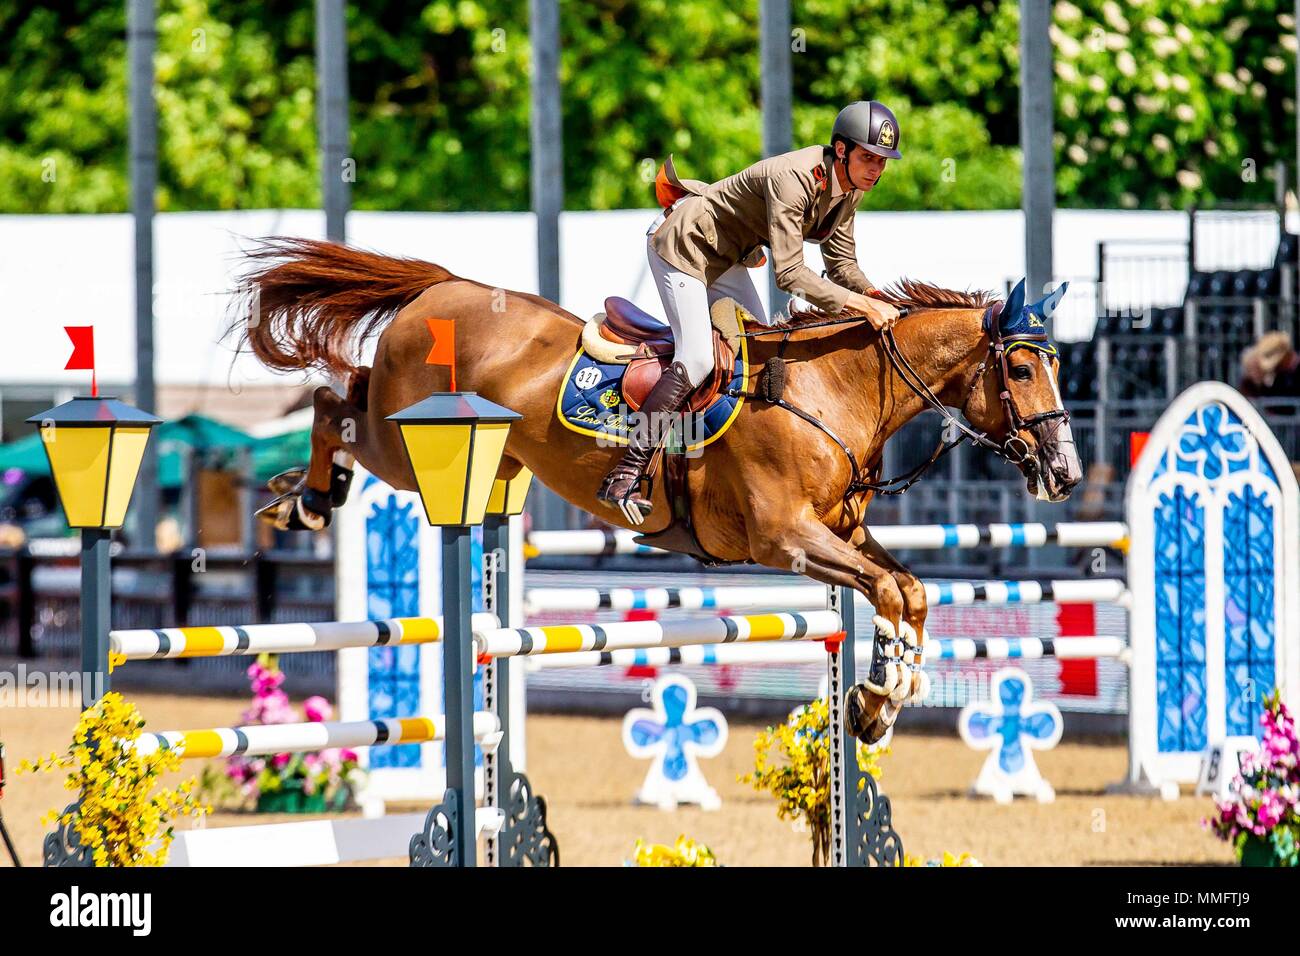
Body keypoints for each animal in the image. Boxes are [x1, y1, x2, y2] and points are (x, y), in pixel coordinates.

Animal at [232, 238, 1082, 742]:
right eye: (1019, 368)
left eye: (1055, 365)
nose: (1066, 474)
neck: (829, 389)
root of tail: (441, 289)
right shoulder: (783, 537)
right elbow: (887, 590)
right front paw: (879, 694)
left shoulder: (841, 532)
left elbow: (908, 590)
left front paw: (878, 702)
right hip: (404, 445)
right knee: (333, 405)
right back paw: (305, 497)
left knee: (345, 389)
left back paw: (301, 489)